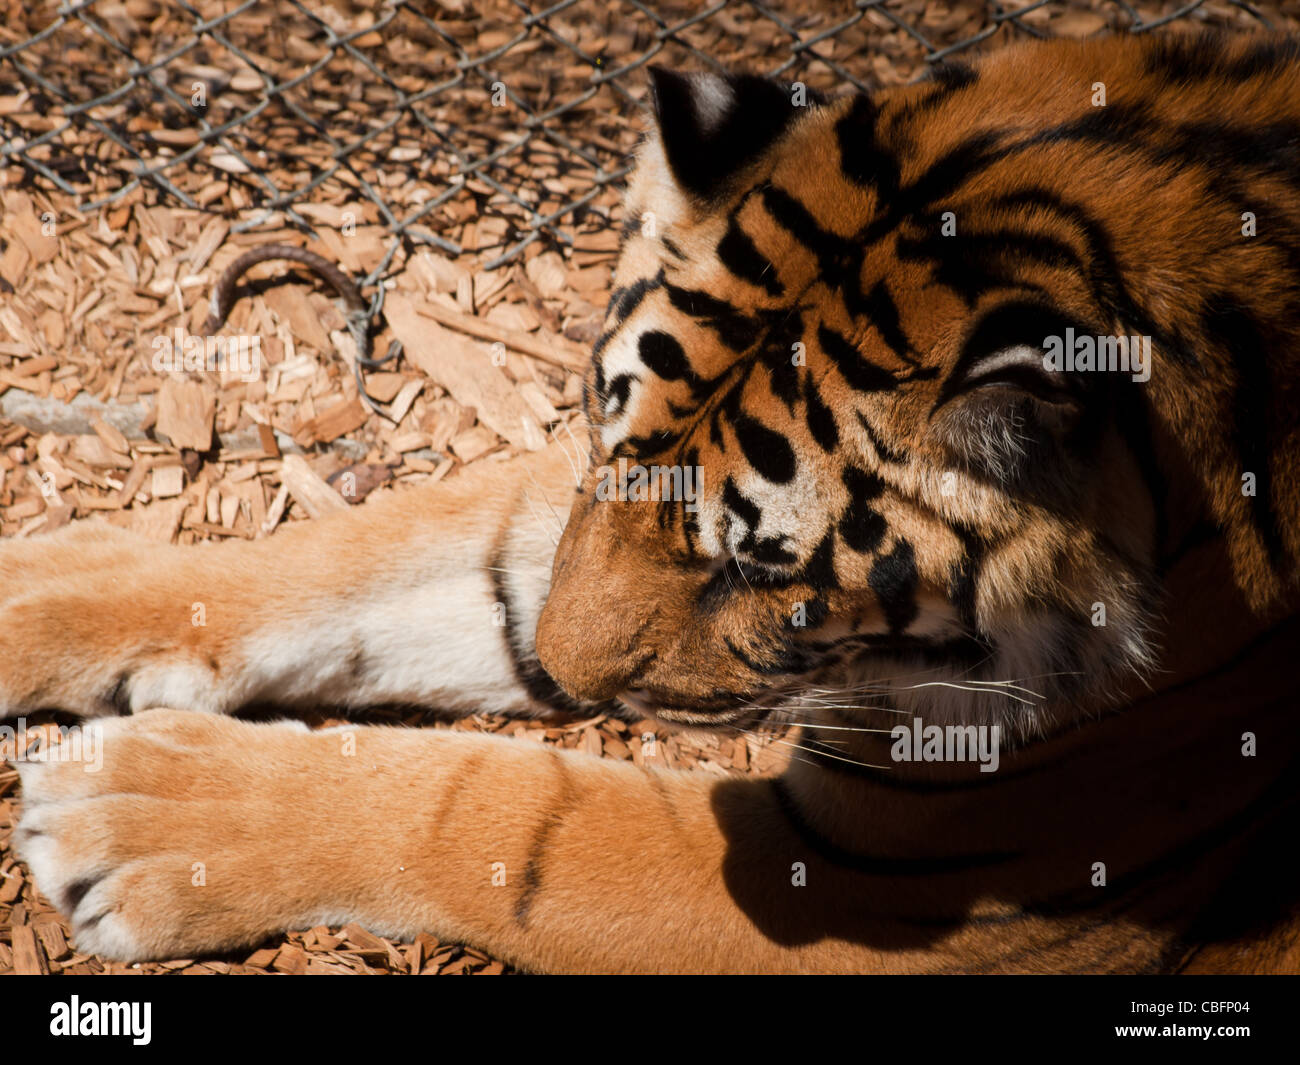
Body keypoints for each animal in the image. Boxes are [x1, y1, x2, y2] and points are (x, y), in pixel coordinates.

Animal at [5, 31, 1300, 974]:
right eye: (600, 423)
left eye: (760, 568)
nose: (566, 676)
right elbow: (365, 561)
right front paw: (45, 583)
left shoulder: (882, 882)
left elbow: (512, 819)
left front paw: (140, 812)